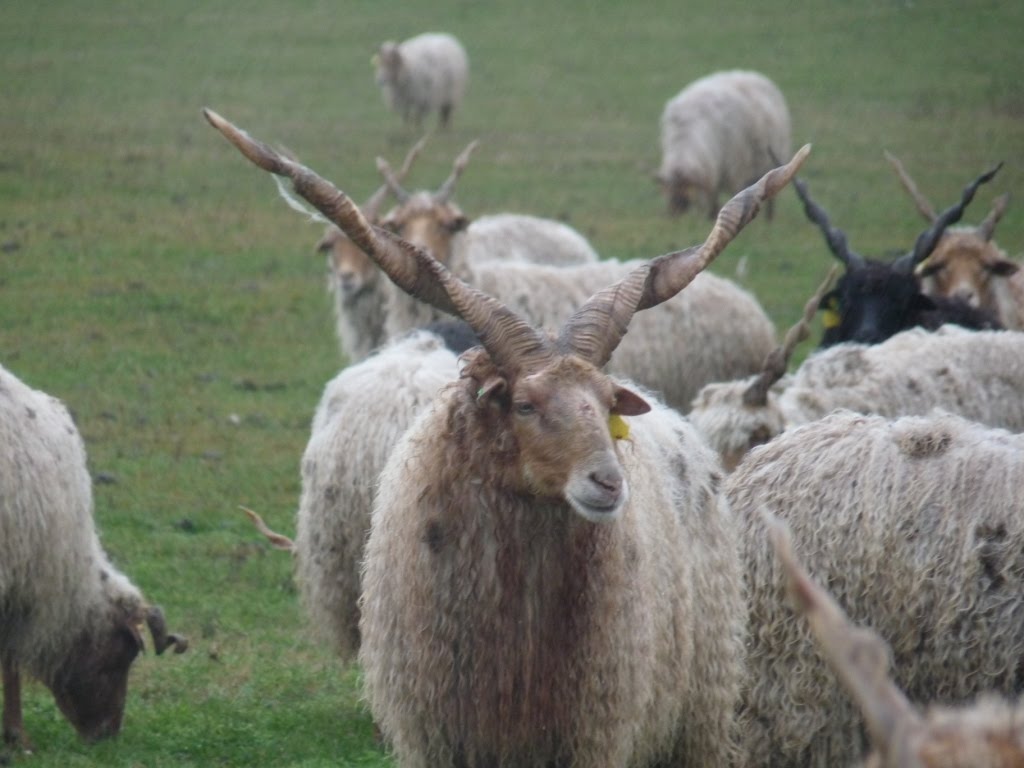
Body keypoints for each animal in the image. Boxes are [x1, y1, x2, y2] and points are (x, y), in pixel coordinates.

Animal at [657, 69, 791, 218]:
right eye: (669, 193)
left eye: (687, 193)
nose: (676, 218)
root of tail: (753, 74)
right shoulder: (713, 170)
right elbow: (713, 197)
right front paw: (711, 216)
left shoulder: (735, 170)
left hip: (773, 161)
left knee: (771, 199)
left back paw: (769, 219)